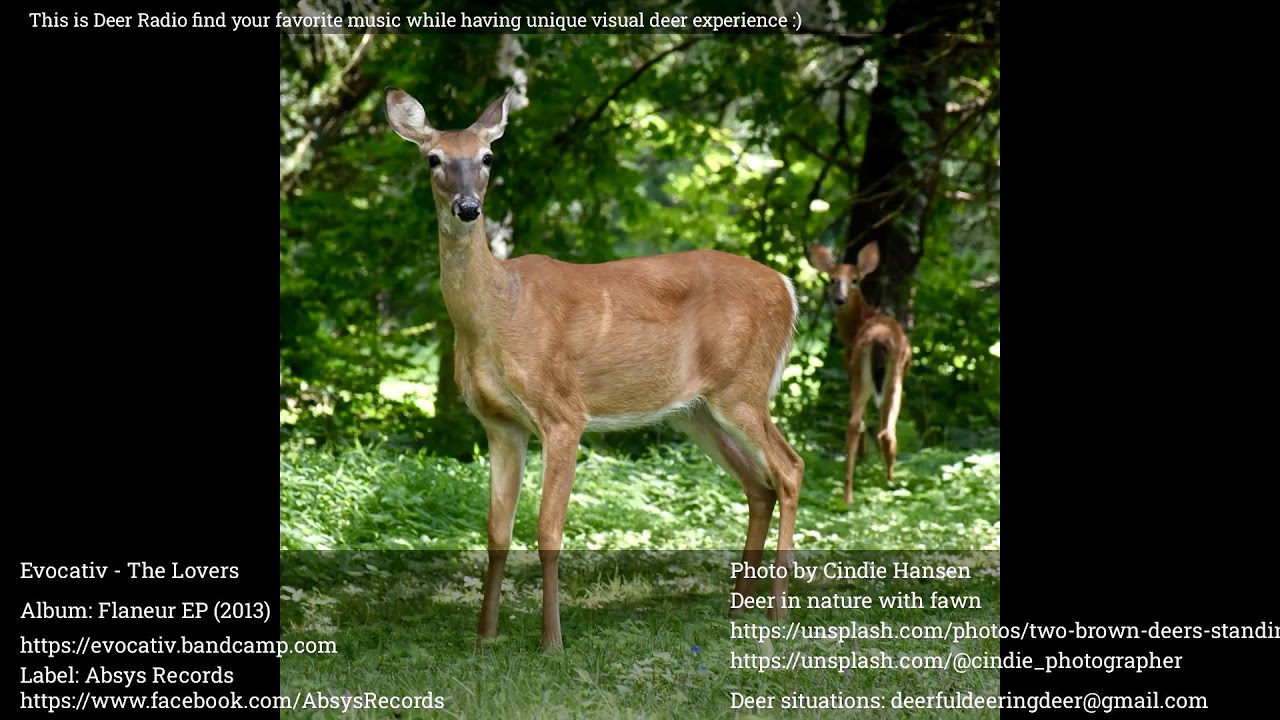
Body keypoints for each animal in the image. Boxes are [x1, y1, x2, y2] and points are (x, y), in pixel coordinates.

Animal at [386, 86, 805, 651]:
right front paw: (485, 636)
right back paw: (737, 607)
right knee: (758, 486)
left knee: (789, 468)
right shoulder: (499, 424)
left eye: (488, 157)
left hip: (743, 387)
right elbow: (496, 532)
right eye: (434, 159)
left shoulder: (563, 411)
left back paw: (777, 613)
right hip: (694, 410)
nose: (469, 208)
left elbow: (547, 530)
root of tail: (788, 287)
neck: (495, 312)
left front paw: (552, 642)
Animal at [807, 242, 911, 506]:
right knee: (870, 426)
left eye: (854, 279)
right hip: (880, 377)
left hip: (884, 378)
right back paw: (867, 488)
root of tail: (880, 338)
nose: (839, 299)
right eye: (832, 279)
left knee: (876, 428)